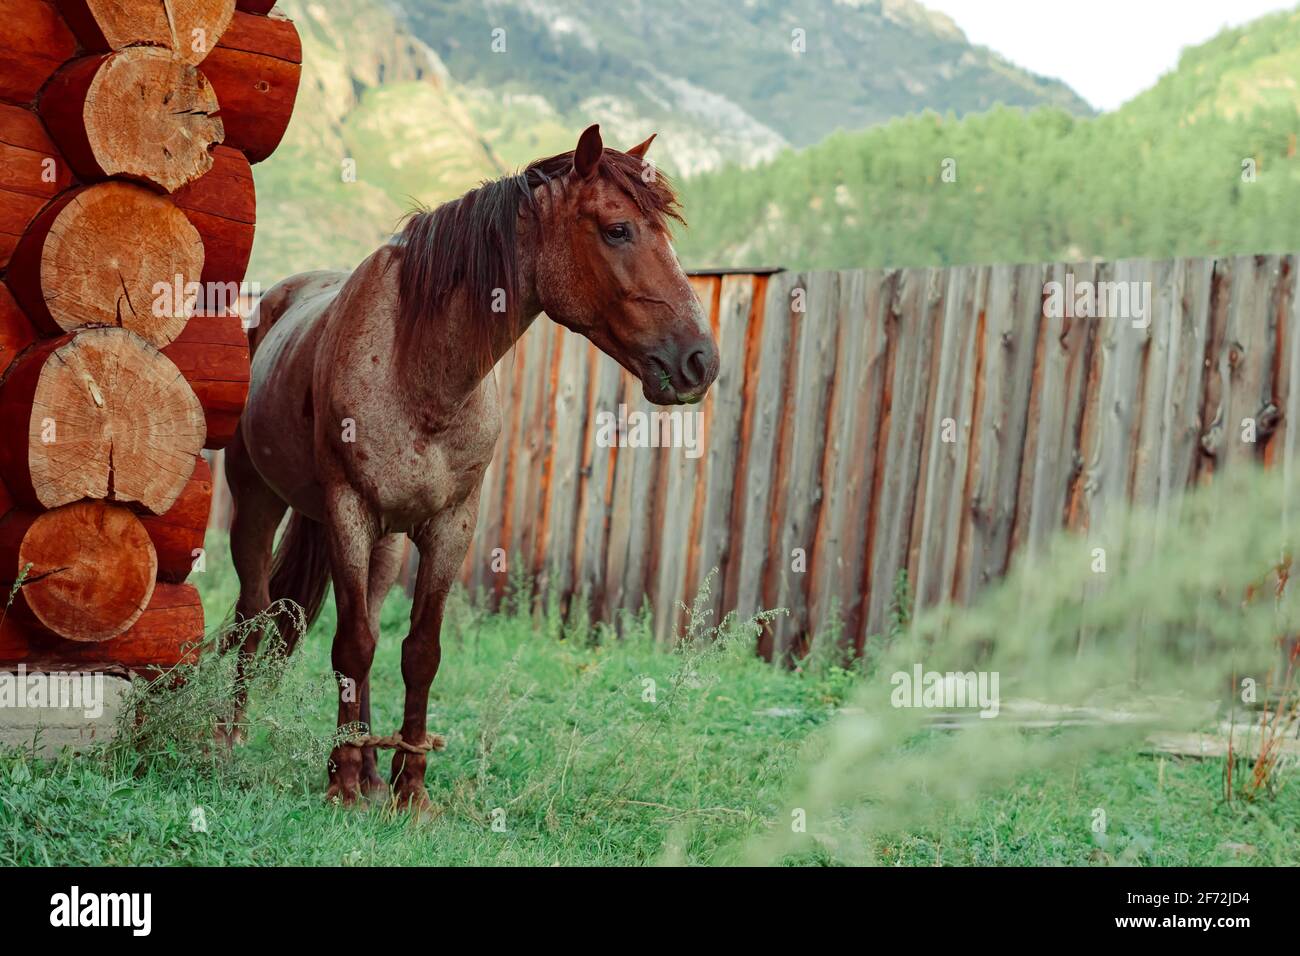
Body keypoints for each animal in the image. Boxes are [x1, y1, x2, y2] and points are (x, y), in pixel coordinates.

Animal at [223, 125, 720, 810]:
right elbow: (350, 646)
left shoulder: (450, 525)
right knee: (252, 619)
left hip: (385, 545)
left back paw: (368, 768)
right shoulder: (349, 512)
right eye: (618, 229)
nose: (701, 360)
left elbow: (417, 652)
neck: (419, 369)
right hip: (257, 503)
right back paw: (232, 743)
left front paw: (406, 789)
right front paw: (344, 785)